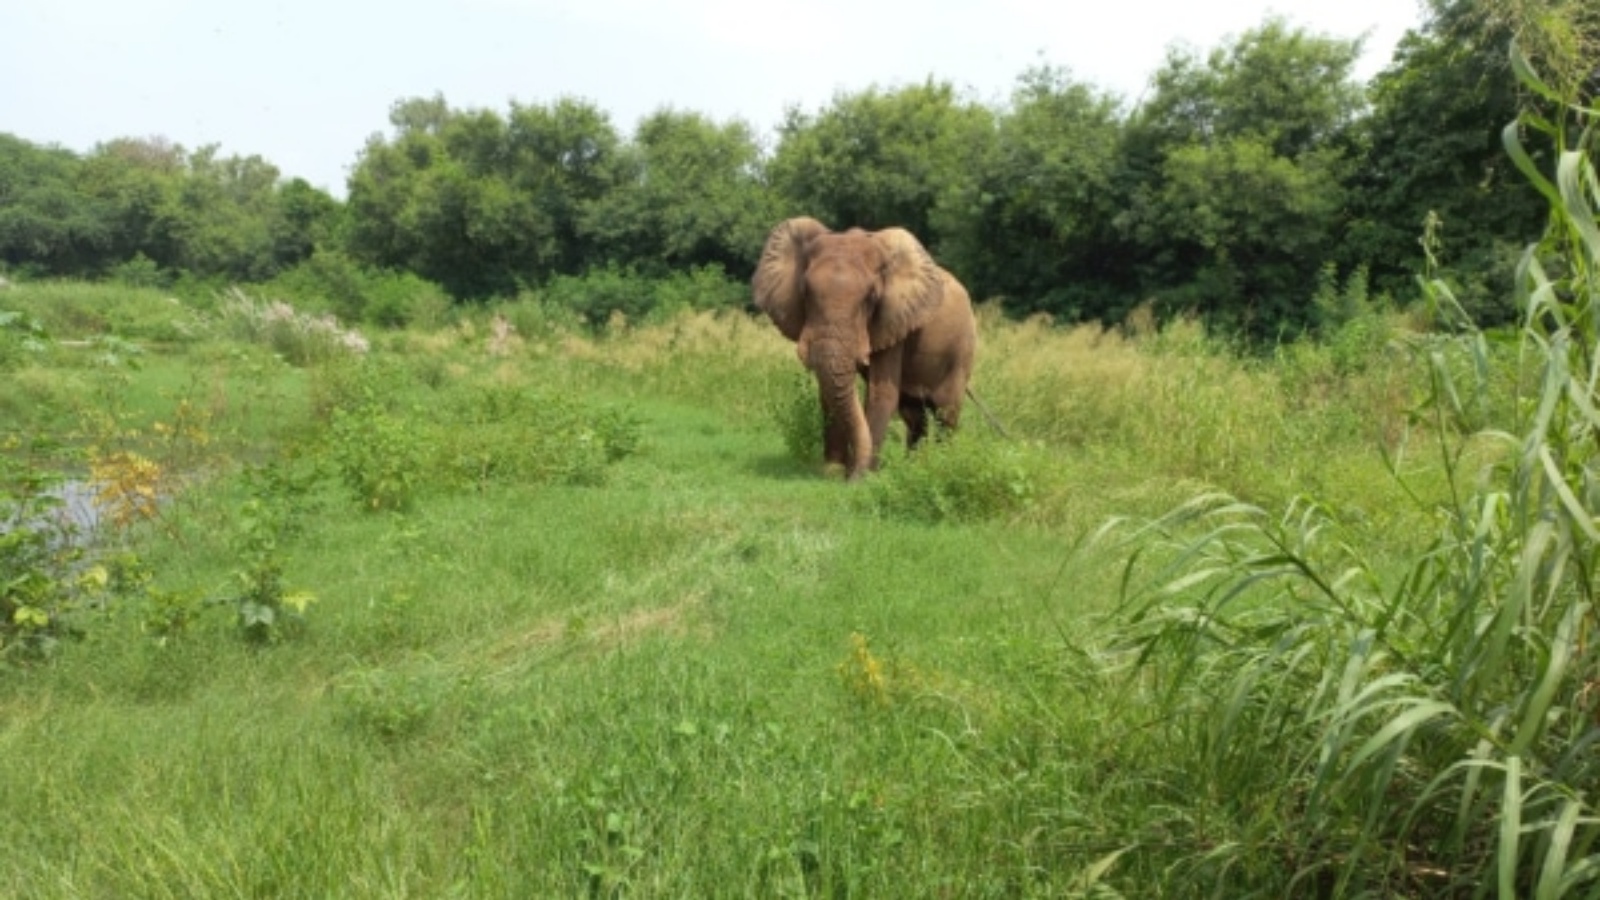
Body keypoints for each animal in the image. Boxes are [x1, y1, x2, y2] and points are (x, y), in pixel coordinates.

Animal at [752, 217, 977, 480]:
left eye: (871, 297)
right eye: (805, 291)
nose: (851, 474)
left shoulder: (895, 319)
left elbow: (881, 393)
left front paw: (862, 476)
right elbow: (828, 392)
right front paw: (833, 471)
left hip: (962, 351)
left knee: (945, 414)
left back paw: (939, 465)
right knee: (914, 415)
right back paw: (914, 468)